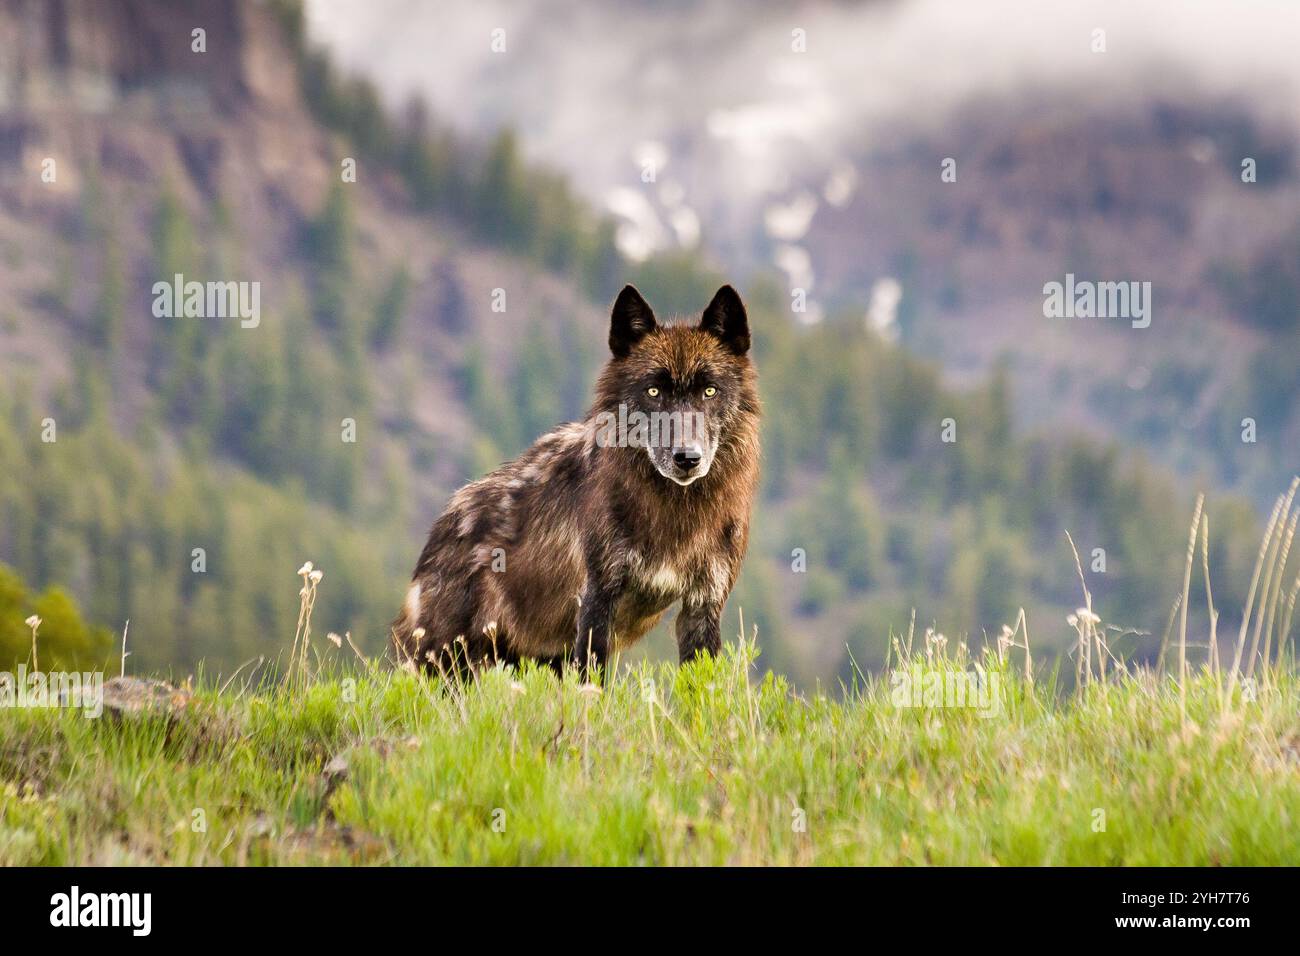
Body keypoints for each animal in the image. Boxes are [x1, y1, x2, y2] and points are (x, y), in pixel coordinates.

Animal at [393, 284, 760, 676]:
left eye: (710, 391)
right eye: (653, 392)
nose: (687, 458)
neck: (674, 514)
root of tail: (447, 516)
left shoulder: (703, 605)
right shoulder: (598, 598)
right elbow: (592, 682)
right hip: (449, 661)